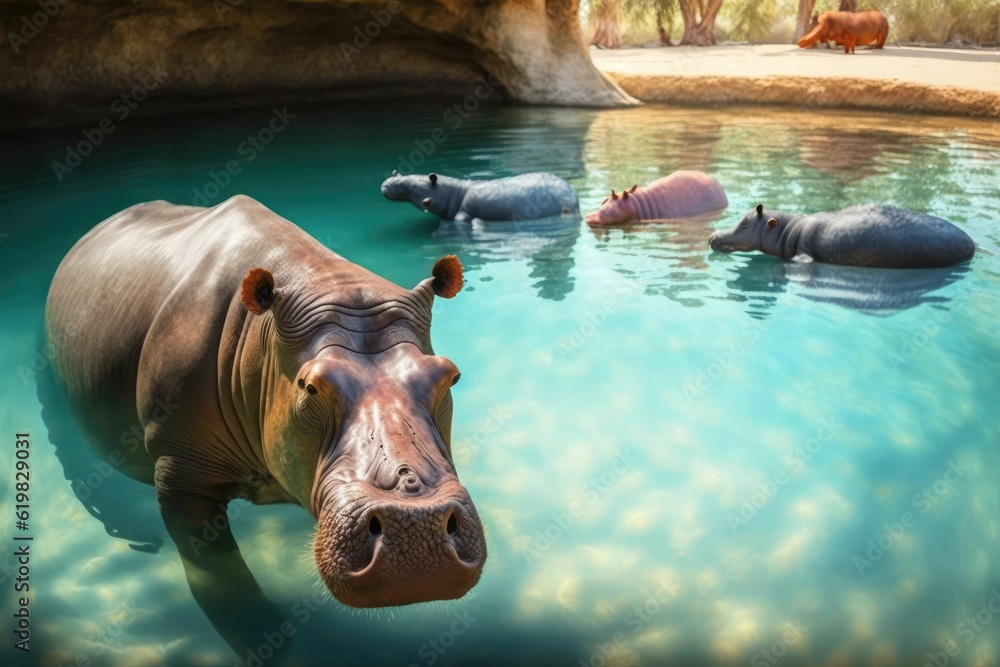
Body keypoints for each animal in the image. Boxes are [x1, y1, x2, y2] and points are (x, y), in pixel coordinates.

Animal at [44, 195, 486, 655]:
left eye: (450, 376)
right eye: (309, 387)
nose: (415, 531)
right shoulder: (179, 469)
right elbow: (216, 570)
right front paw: (265, 639)